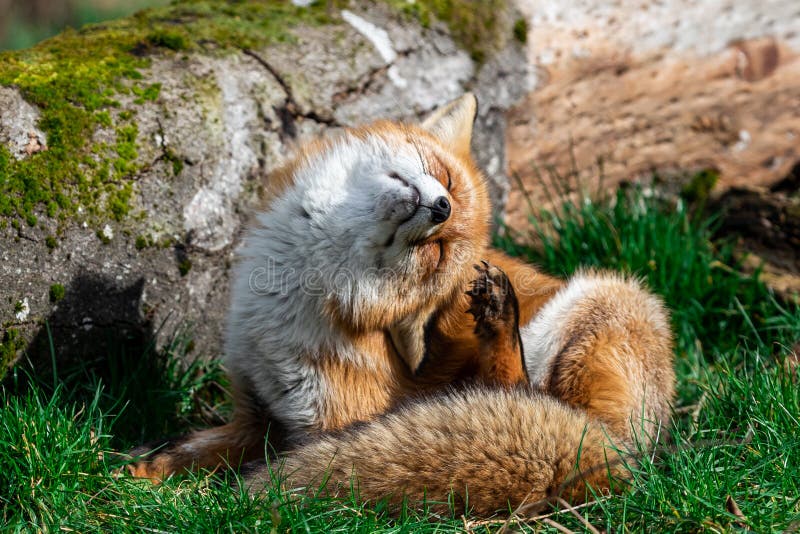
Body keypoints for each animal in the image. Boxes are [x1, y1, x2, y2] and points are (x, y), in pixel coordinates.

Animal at [128, 93, 675, 514]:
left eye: (438, 254)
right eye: (448, 181)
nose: (442, 208)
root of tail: (621, 450)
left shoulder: (329, 425)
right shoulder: (256, 414)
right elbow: (193, 449)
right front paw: (144, 472)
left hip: (603, 301)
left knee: (513, 387)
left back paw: (502, 321)